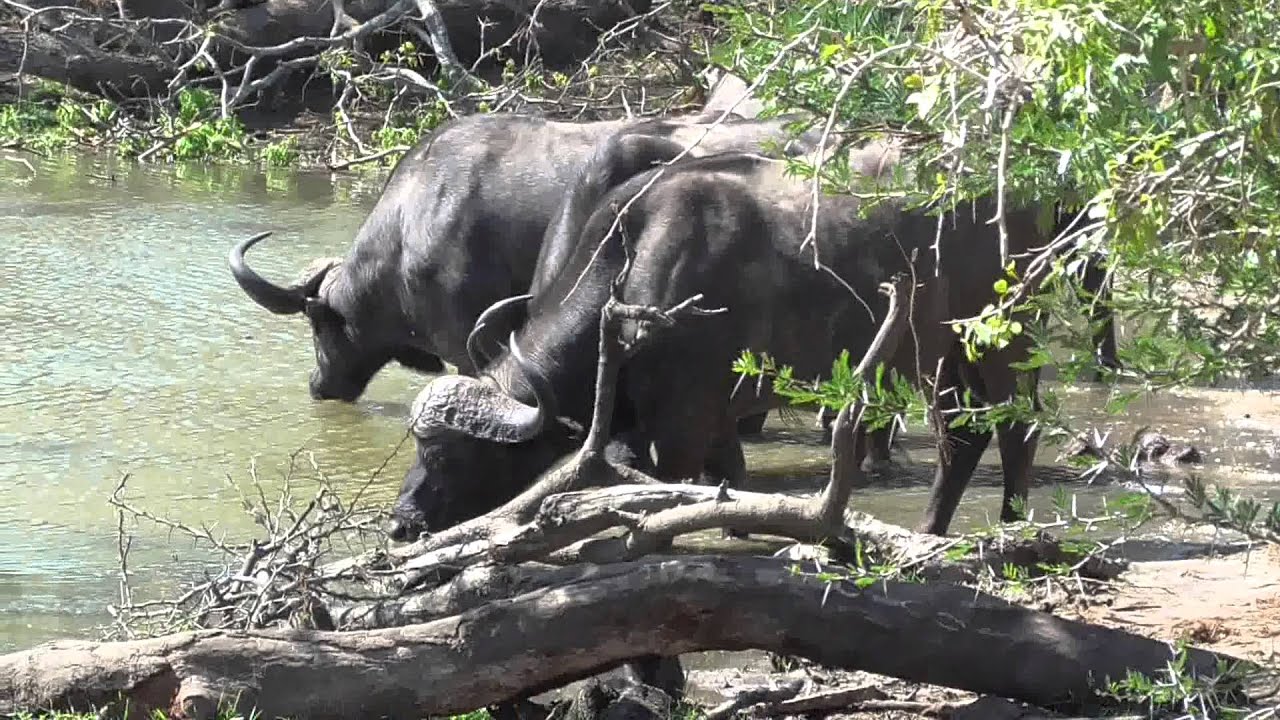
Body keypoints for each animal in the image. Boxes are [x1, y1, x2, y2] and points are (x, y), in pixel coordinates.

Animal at [390, 140, 1095, 540]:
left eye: (454, 456)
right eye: (421, 447)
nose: (402, 524)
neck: (637, 262)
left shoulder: (677, 429)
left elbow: (666, 496)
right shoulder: (717, 420)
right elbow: (728, 479)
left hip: (1001, 337)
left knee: (1016, 425)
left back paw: (1012, 531)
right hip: (941, 354)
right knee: (962, 434)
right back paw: (928, 530)